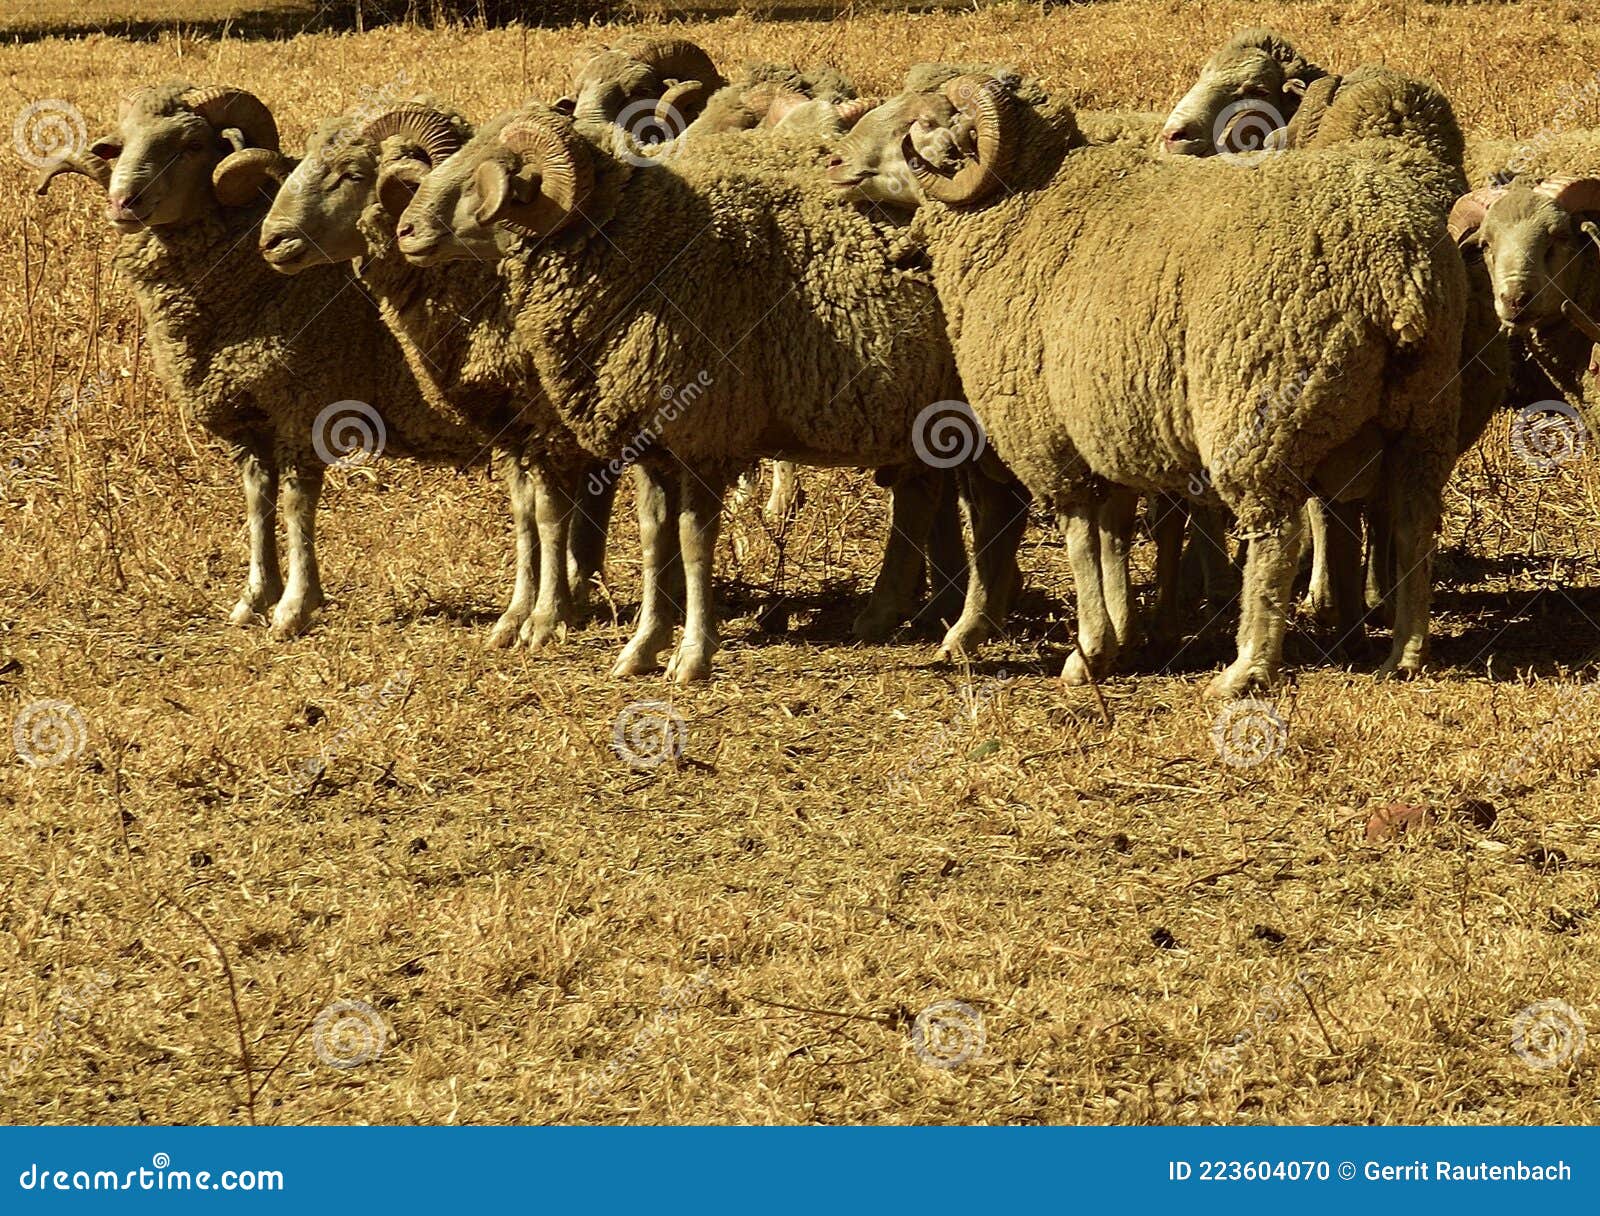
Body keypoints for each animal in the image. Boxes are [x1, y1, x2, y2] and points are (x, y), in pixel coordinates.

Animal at [34, 83, 505, 640]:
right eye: (120, 143)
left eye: (192, 145)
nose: (123, 202)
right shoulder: (247, 421)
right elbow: (257, 501)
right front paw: (254, 599)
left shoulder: (306, 406)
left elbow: (297, 505)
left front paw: (294, 608)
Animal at [252, 103, 618, 649]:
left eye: (353, 173)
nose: (271, 241)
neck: (484, 284)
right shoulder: (509, 424)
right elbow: (524, 514)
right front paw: (516, 615)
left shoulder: (548, 423)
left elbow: (550, 514)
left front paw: (546, 619)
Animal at [391, 106, 1014, 682]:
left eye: (491, 174)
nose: (405, 230)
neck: (655, 251)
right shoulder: (650, 445)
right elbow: (653, 542)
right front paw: (642, 648)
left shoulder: (705, 439)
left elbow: (693, 545)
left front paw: (691, 655)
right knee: (950, 501)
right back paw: (909, 617)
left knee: (990, 511)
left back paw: (966, 630)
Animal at [830, 73, 1466, 696]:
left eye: (922, 124)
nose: (835, 161)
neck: (1020, 209)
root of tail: (1397, 274)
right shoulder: (1107, 425)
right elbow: (1111, 536)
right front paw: (1122, 635)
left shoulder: (1047, 433)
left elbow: (1079, 536)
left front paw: (1089, 650)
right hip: (1425, 421)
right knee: (1415, 523)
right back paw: (1405, 656)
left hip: (1258, 411)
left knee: (1276, 536)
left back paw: (1246, 668)